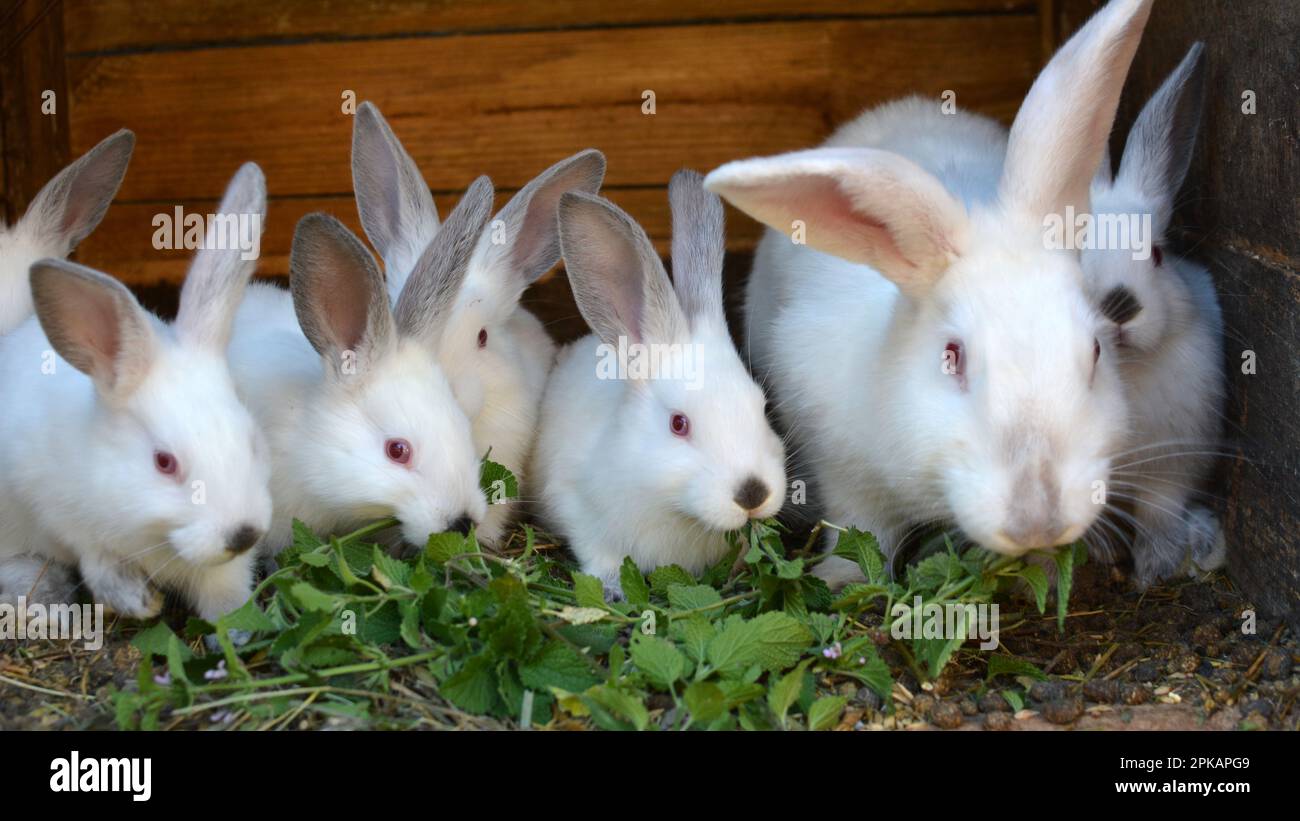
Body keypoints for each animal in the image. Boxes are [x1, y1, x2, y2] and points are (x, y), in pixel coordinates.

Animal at [0, 162, 273, 622]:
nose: (243, 534)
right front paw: (140, 602)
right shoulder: (67, 521)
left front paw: (237, 624)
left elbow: (225, 596)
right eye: (164, 462)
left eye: (252, 441)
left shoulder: (223, 570)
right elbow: (98, 563)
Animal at [535, 170, 788, 597]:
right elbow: (599, 555)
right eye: (678, 424)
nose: (752, 494)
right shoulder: (575, 506)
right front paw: (612, 589)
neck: (674, 505)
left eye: (764, 409)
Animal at [704, 0, 1156, 589]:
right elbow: (860, 527)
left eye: (1096, 352)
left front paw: (1045, 571)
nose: (1037, 520)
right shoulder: (841, 463)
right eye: (951, 356)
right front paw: (841, 577)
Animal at [1082, 42, 1226, 586]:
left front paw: (1154, 567)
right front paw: (1098, 550)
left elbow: (1158, 511)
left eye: (1158, 253)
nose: (1120, 304)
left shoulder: (1176, 463)